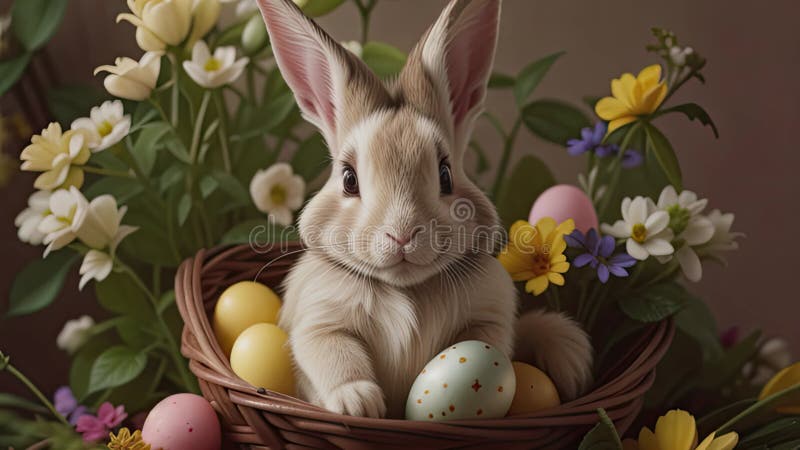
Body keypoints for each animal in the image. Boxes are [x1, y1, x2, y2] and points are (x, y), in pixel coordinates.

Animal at [255, 0, 593, 418]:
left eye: (445, 174)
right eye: (349, 179)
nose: (402, 234)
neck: (408, 290)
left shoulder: (490, 319)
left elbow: (485, 347)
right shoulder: (319, 323)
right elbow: (335, 355)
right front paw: (359, 404)